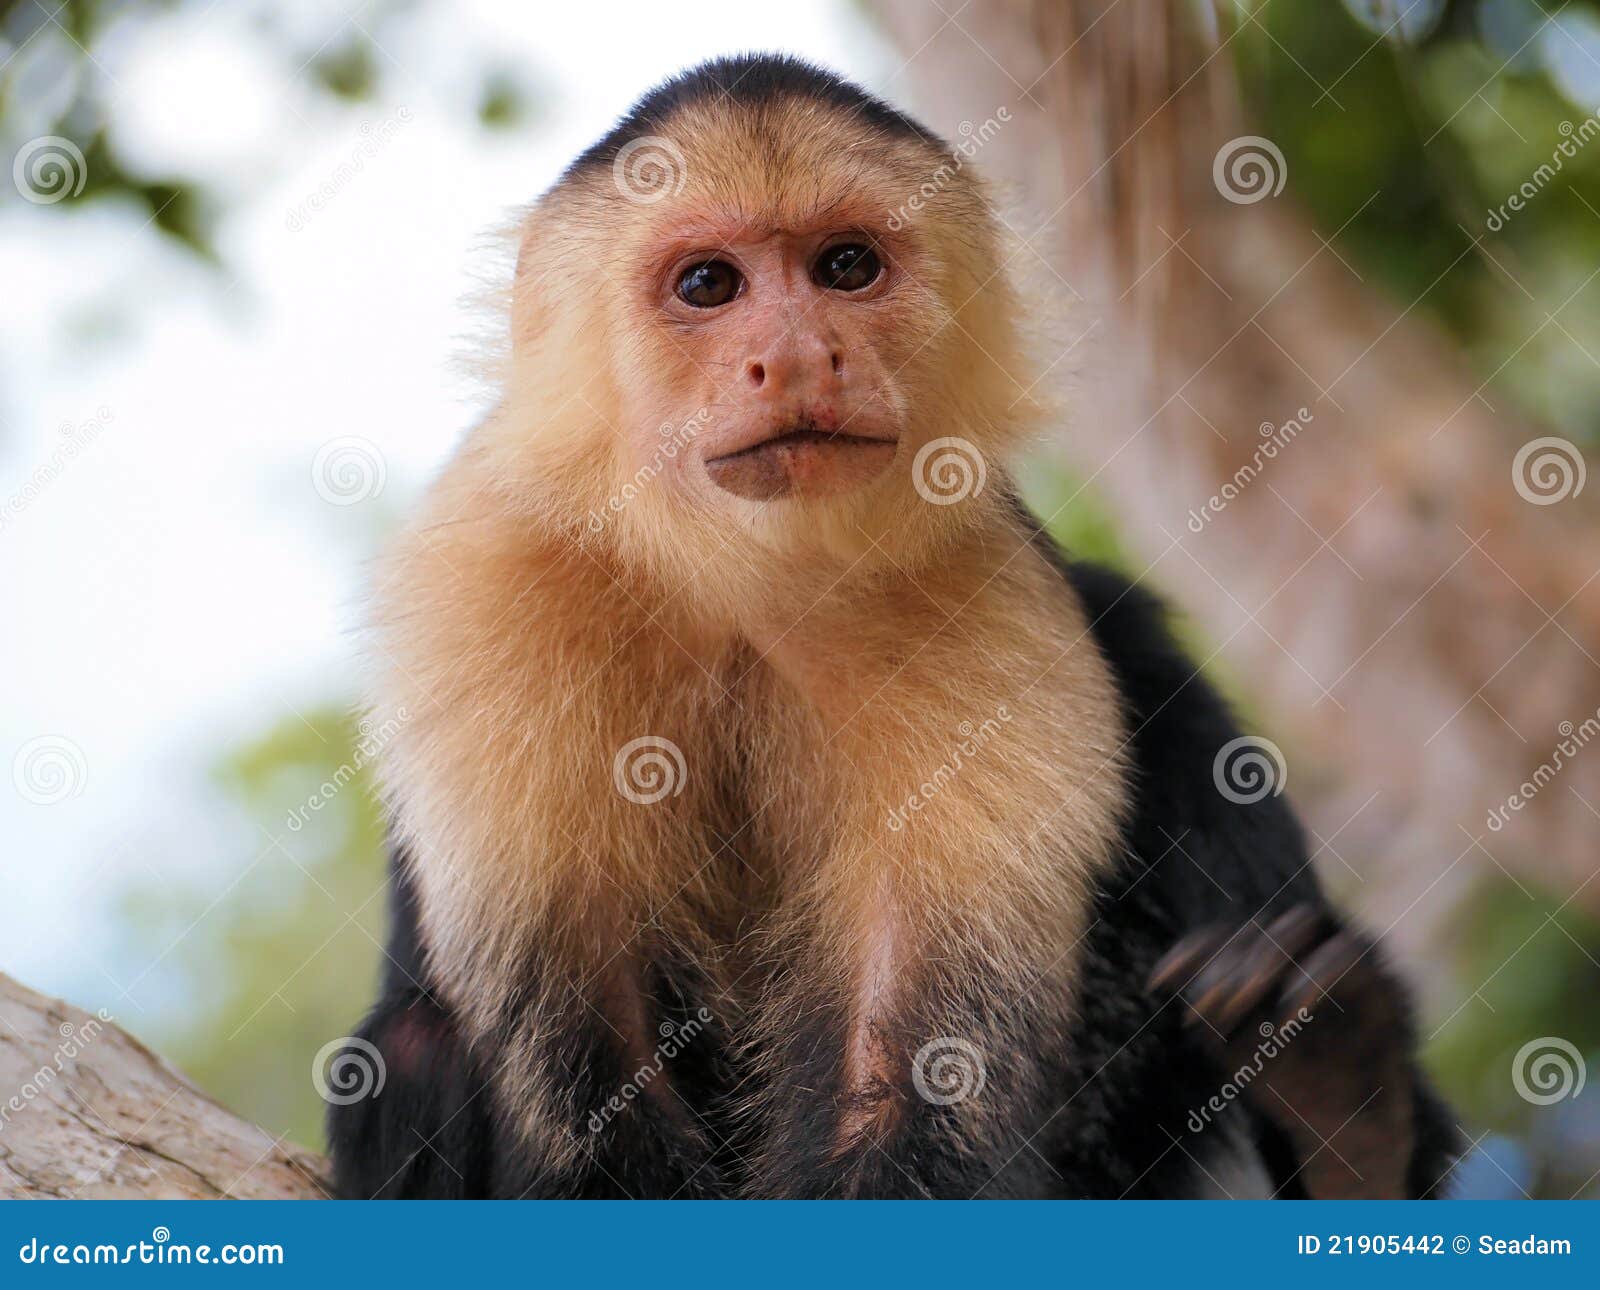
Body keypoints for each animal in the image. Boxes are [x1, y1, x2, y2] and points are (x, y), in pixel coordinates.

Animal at [326, 54, 1462, 1199]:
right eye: (709, 286)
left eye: (846, 266)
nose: (795, 356)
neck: (737, 577)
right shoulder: (485, 570)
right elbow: (590, 1083)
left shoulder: (985, 585)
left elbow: (914, 1072)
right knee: (409, 1053)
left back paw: (1344, 1098)